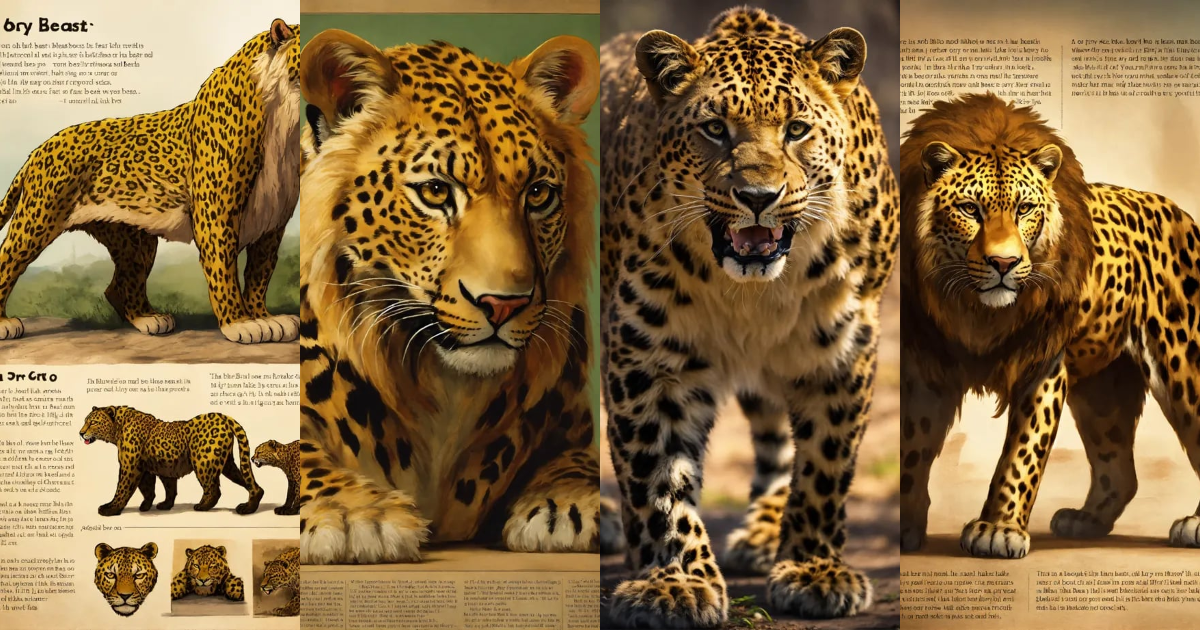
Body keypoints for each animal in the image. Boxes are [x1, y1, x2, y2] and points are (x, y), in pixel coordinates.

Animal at [0, 19, 301, 344]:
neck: (283, 124)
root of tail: (38, 151)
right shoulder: (216, 217)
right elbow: (223, 270)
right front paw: (241, 323)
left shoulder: (272, 223)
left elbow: (260, 274)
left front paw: (264, 316)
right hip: (38, 220)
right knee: (8, 260)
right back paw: (5, 323)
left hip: (135, 240)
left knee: (119, 285)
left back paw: (150, 318)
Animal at [79, 405, 263, 516]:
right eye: (85, 421)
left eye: (93, 422)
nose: (81, 433)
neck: (117, 428)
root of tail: (223, 416)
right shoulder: (157, 466)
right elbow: (157, 488)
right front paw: (155, 505)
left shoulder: (131, 466)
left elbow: (122, 488)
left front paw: (111, 508)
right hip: (227, 464)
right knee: (249, 482)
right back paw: (249, 507)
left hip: (204, 461)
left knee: (213, 488)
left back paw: (202, 506)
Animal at [293, 29, 602, 564]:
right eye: (437, 192)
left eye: (538, 193)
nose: (504, 304)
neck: (443, 388)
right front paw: (355, 516)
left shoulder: (576, 421)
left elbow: (583, 457)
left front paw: (568, 505)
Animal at [598, 7, 898, 627]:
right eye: (715, 129)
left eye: (797, 130)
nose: (758, 196)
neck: (751, 292)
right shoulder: (648, 356)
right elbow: (660, 477)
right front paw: (675, 581)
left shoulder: (843, 348)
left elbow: (825, 464)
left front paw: (814, 570)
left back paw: (763, 533)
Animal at [899, 92, 1200, 559]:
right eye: (970, 209)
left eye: (1024, 209)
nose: (1003, 263)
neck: (977, 312)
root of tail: (1178, 211)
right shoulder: (925, 363)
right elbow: (913, 447)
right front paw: (905, 529)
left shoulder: (1040, 365)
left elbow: (1021, 454)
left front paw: (997, 528)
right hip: (1103, 389)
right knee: (1119, 469)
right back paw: (1085, 521)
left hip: (1183, 362)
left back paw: (1194, 524)